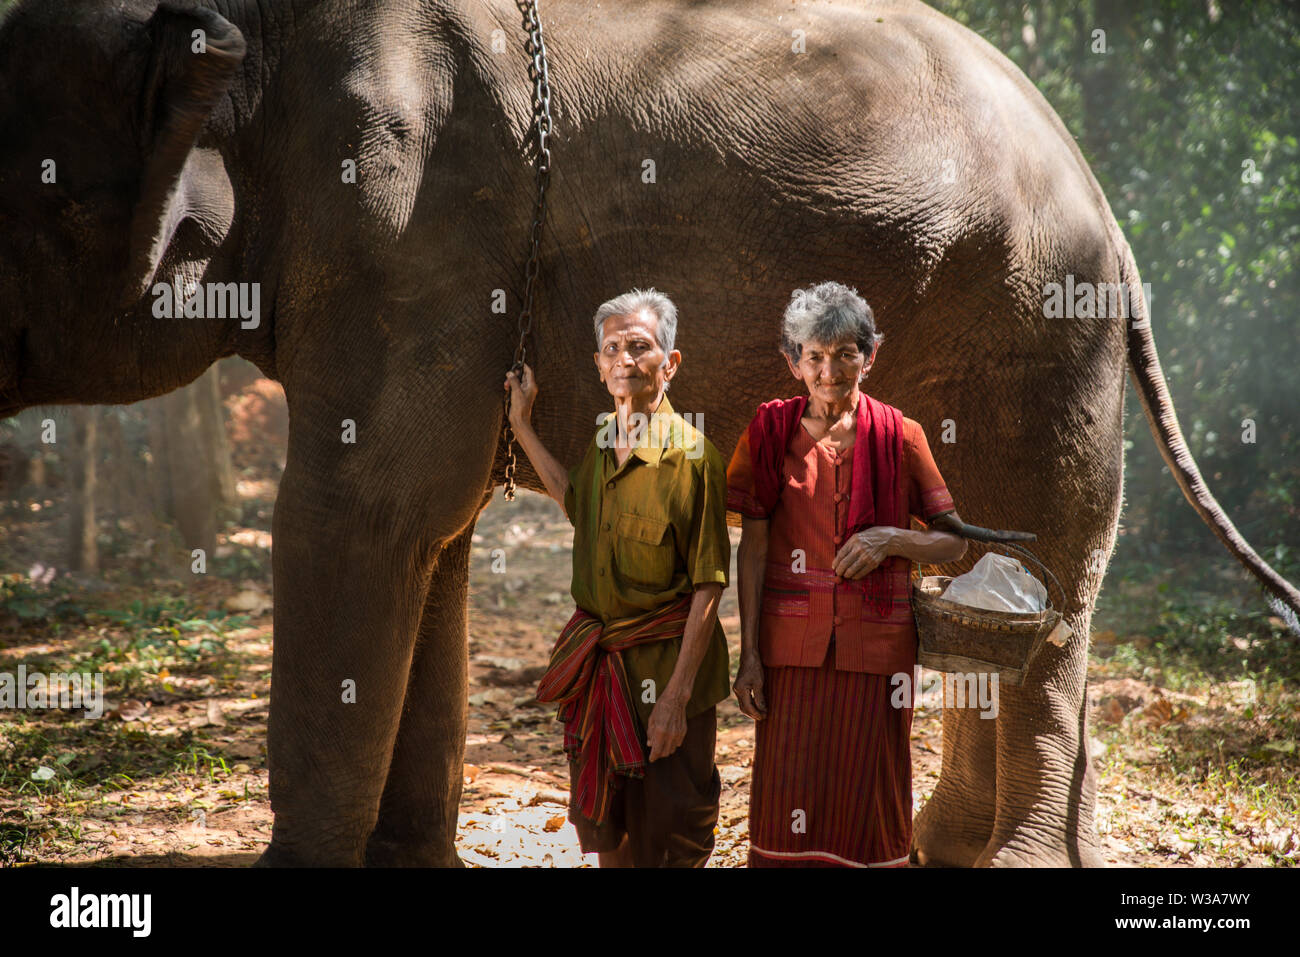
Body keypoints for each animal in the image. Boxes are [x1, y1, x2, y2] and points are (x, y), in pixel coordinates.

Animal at [1, 0, 1296, 867]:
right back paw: (949, 843)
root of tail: (1110, 218)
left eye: (28, 187)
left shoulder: (411, 223)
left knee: (1045, 566)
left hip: (1038, 320)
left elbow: (366, 512)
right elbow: (432, 532)